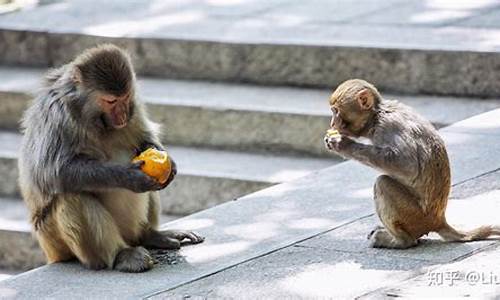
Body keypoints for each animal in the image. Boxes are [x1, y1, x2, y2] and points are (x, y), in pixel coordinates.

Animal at [18, 44, 203, 272]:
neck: (95, 118)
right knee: (72, 195)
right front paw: (130, 178)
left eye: (125, 97)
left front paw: (168, 162)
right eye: (111, 101)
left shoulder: (134, 105)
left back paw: (150, 235)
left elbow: (144, 139)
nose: (123, 115)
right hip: (54, 240)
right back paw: (120, 255)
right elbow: (53, 173)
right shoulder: (57, 115)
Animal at [324, 78, 500, 248]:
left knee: (383, 183)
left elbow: (407, 165)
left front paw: (342, 144)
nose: (332, 123)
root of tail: (438, 220)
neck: (377, 116)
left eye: (336, 111)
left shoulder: (388, 126)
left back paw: (401, 241)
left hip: (415, 216)